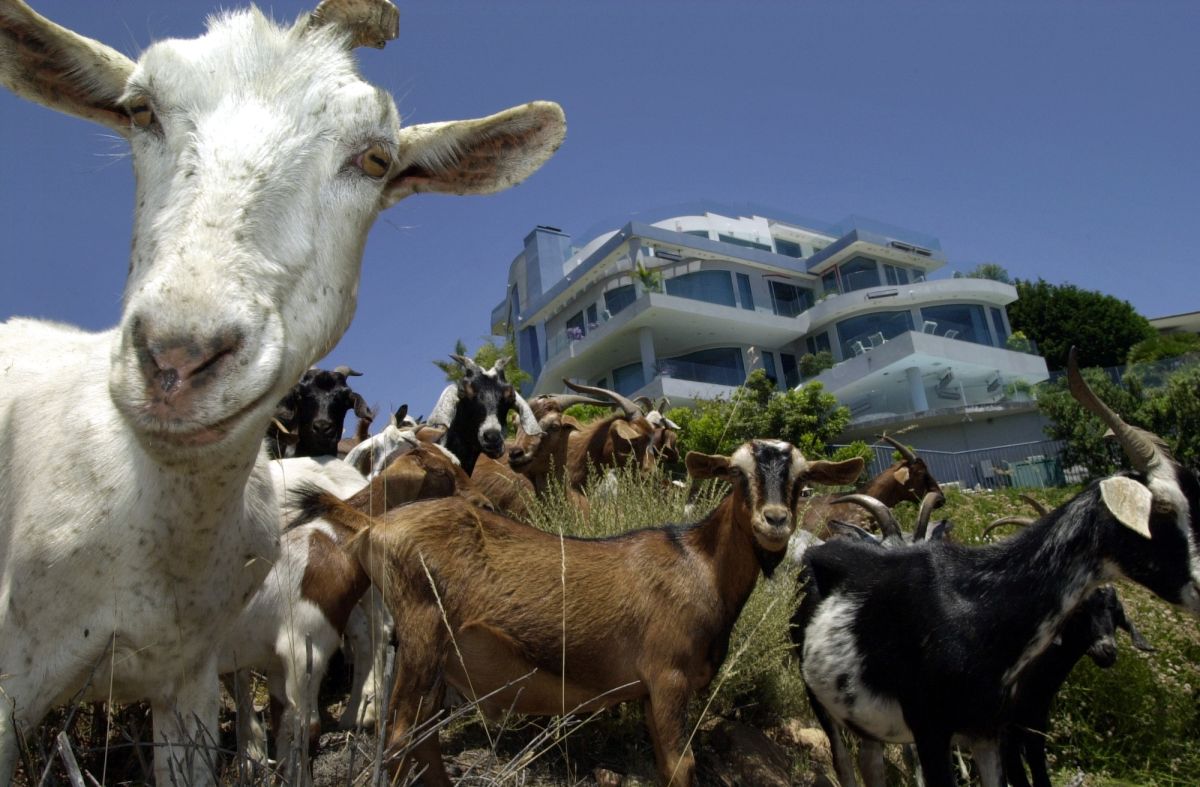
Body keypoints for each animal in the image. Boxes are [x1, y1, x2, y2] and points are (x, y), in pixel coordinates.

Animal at [297, 439, 865, 786]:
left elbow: (665, 764)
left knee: (422, 742)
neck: (698, 563)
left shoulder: (647, 692)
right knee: (398, 741)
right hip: (421, 634)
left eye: (802, 480)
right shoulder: (669, 677)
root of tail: (374, 527)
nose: (775, 521)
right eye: (737, 475)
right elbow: (681, 766)